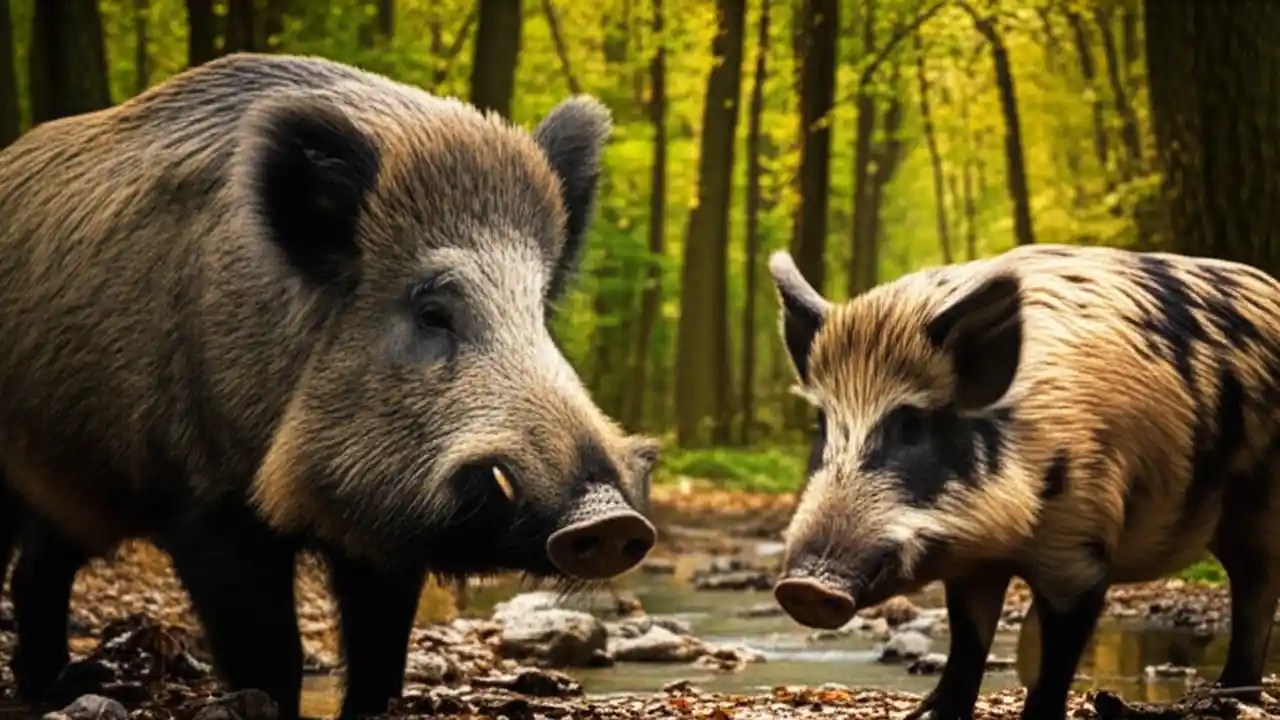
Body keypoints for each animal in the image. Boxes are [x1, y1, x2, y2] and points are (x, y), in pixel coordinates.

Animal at [0, 53, 658, 719]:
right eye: (431, 312)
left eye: (539, 307)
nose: (610, 520)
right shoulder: (203, 497)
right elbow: (272, 652)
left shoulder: (386, 530)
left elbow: (381, 647)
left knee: (39, 566)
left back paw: (60, 686)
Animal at [766, 244, 1280, 719]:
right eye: (822, 424)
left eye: (912, 426)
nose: (806, 589)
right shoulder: (973, 569)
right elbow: (968, 641)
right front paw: (935, 711)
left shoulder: (1080, 547)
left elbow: (1056, 657)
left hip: (1259, 503)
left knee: (1256, 592)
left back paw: (1228, 697)